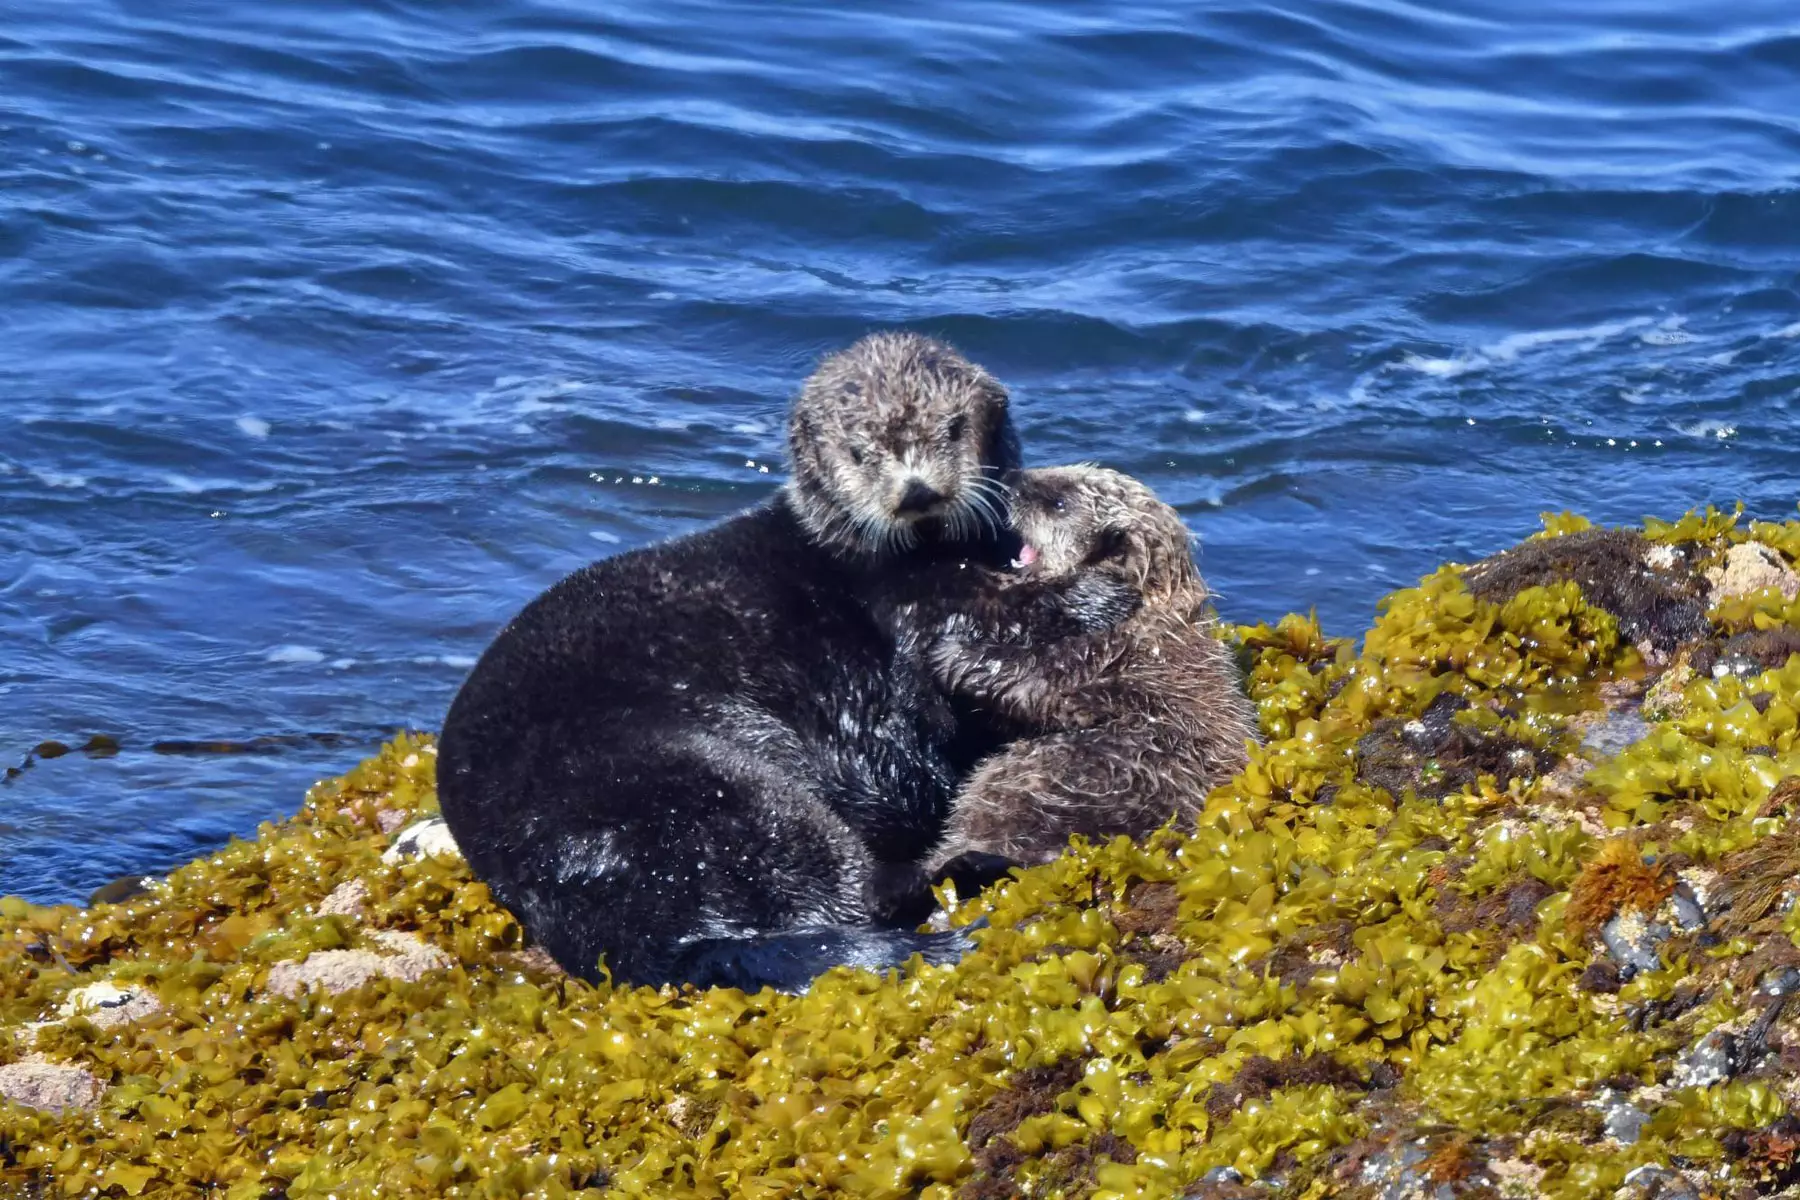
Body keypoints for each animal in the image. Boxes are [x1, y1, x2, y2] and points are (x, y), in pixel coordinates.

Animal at [433, 332, 1123, 993]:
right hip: (704, 794)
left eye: (953, 429)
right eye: (858, 453)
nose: (917, 493)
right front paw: (1098, 588)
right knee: (849, 898)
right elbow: (980, 644)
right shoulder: (914, 610)